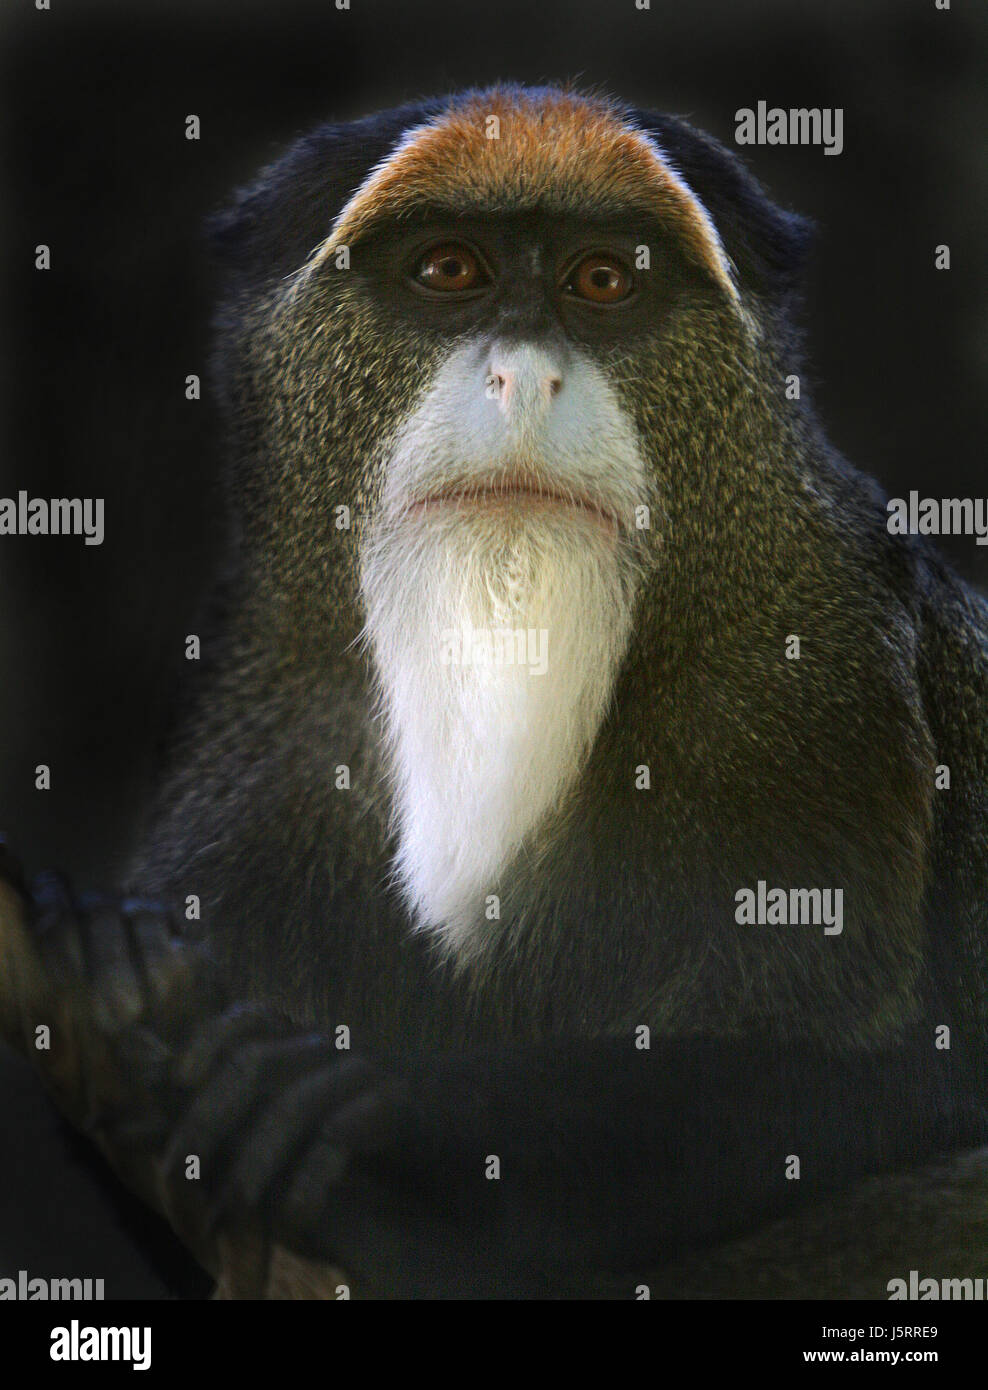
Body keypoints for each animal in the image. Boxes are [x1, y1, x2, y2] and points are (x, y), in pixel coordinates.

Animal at [2, 83, 988, 1300]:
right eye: (450, 269)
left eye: (604, 280)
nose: (524, 374)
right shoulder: (261, 730)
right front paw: (112, 954)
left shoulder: (827, 676)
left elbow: (882, 1085)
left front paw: (374, 1120)